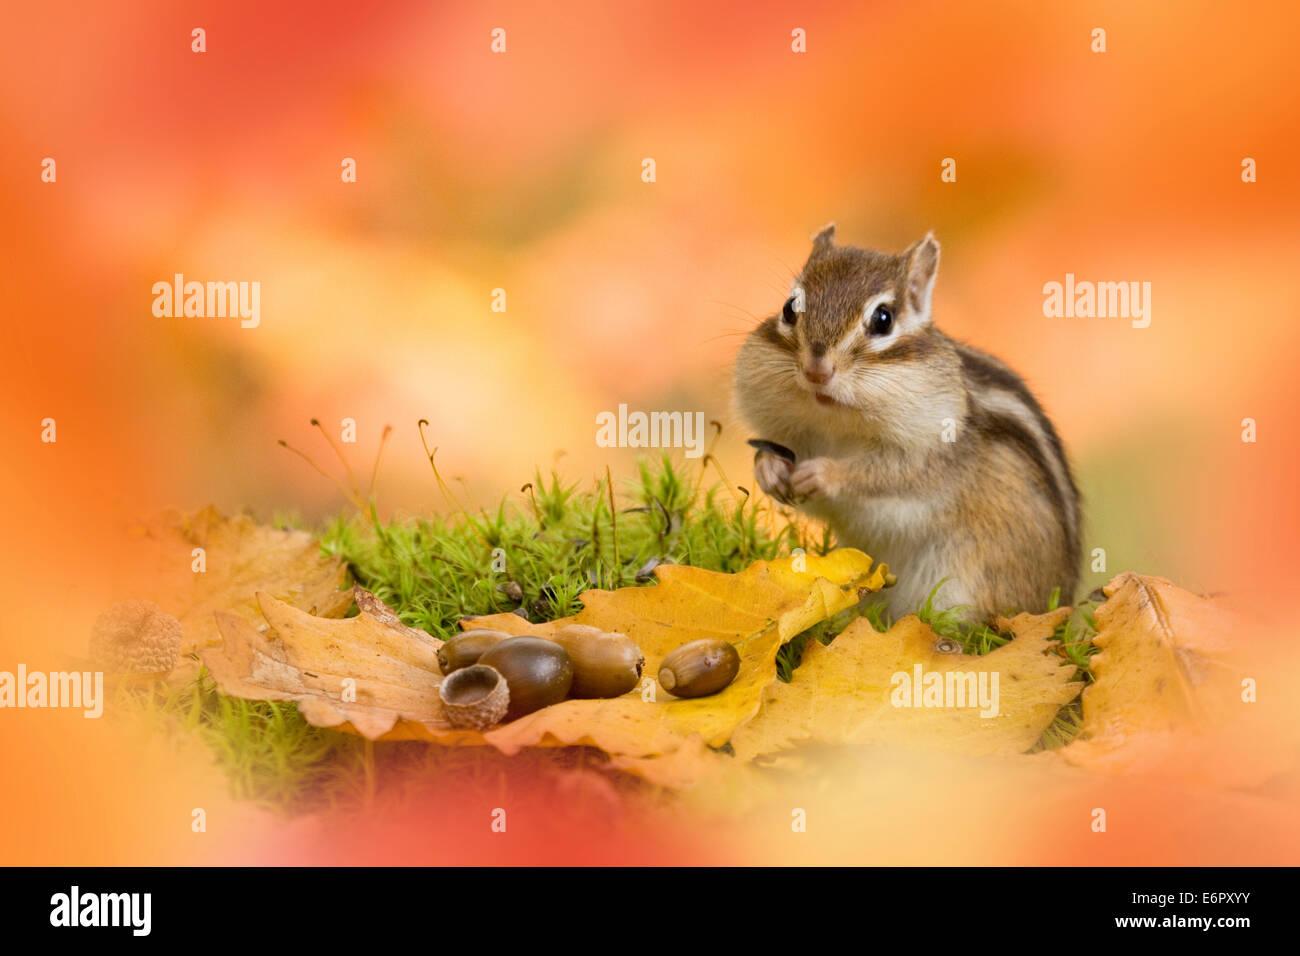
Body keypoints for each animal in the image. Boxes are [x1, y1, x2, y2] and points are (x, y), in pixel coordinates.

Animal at [733, 224, 1080, 622]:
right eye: (790, 308)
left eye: (883, 319)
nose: (816, 370)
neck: (836, 422)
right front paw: (769, 469)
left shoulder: (932, 455)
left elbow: (889, 475)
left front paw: (824, 474)